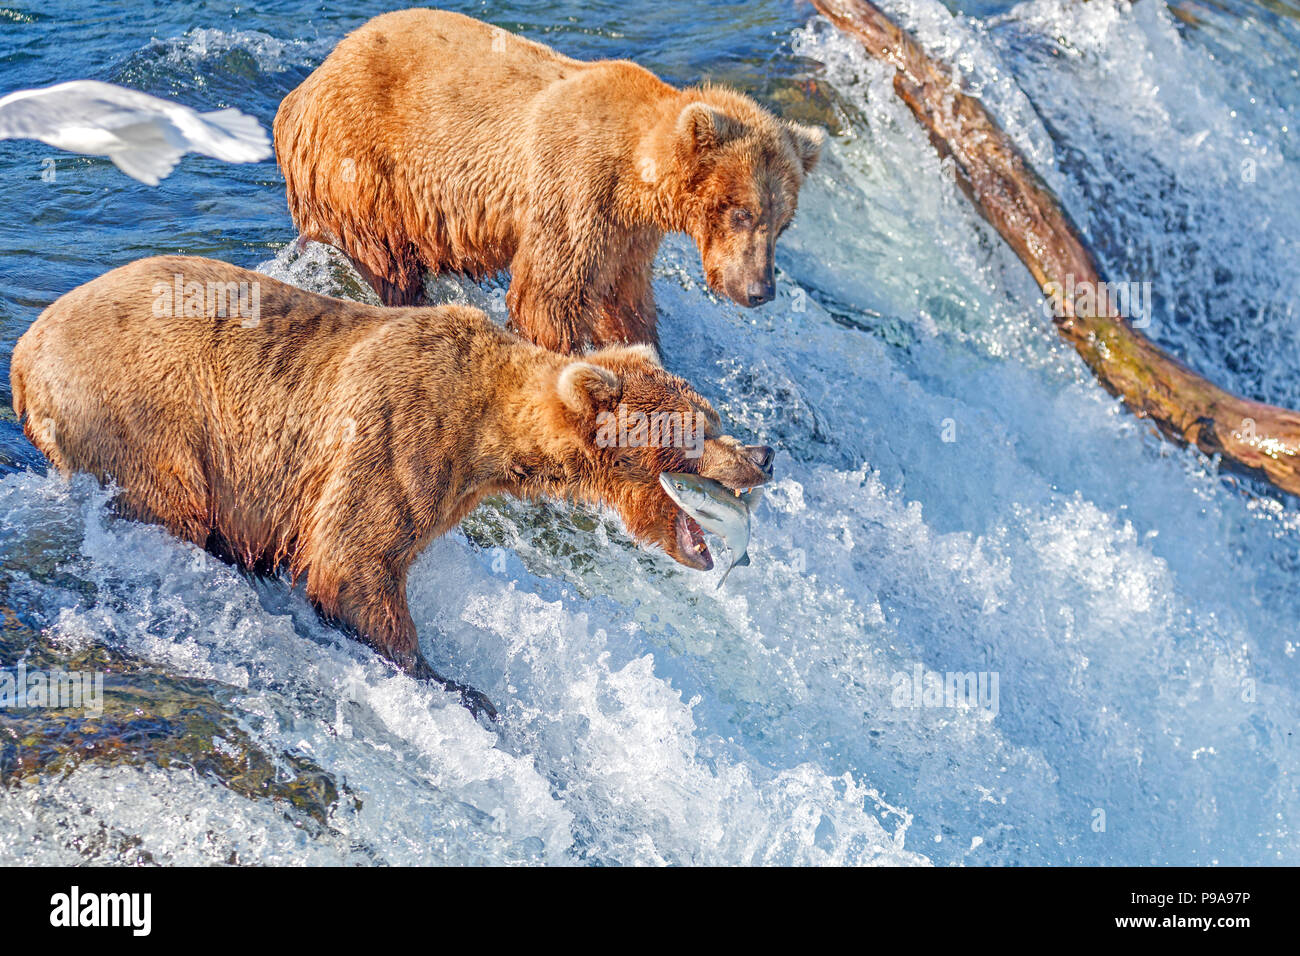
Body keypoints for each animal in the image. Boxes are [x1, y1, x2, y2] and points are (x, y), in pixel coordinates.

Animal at [10, 256, 774, 715]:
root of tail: (22, 353)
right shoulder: (398, 436)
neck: (488, 436)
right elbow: (355, 562)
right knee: (168, 502)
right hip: (145, 412)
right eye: (698, 431)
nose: (764, 454)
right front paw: (453, 681)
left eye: (711, 416)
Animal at [273, 8, 824, 353]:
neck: (636, 176)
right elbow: (549, 295)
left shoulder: (628, 237)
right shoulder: (575, 191)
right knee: (380, 256)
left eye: (782, 224)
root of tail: (310, 79)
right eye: (742, 212)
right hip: (362, 158)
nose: (760, 289)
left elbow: (623, 301)